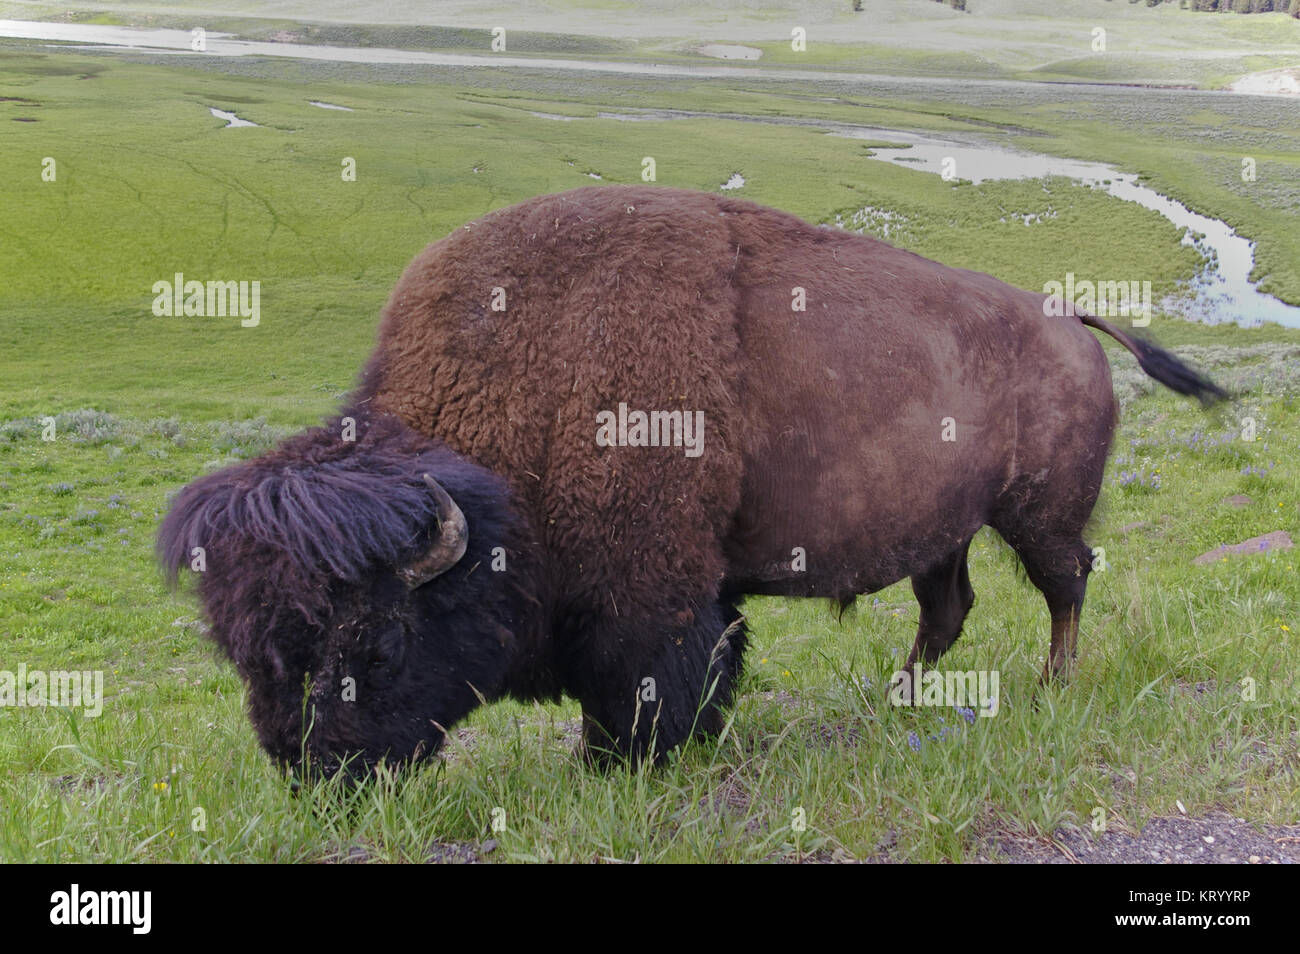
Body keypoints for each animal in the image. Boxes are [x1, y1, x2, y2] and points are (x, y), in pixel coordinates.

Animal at [158, 185, 1225, 780]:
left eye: (374, 644)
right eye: (240, 648)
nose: (312, 774)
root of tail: (1072, 320)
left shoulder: (648, 594)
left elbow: (654, 681)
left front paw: (612, 766)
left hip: (1039, 515)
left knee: (1065, 586)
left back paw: (1052, 688)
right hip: (947, 529)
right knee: (948, 608)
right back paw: (897, 700)